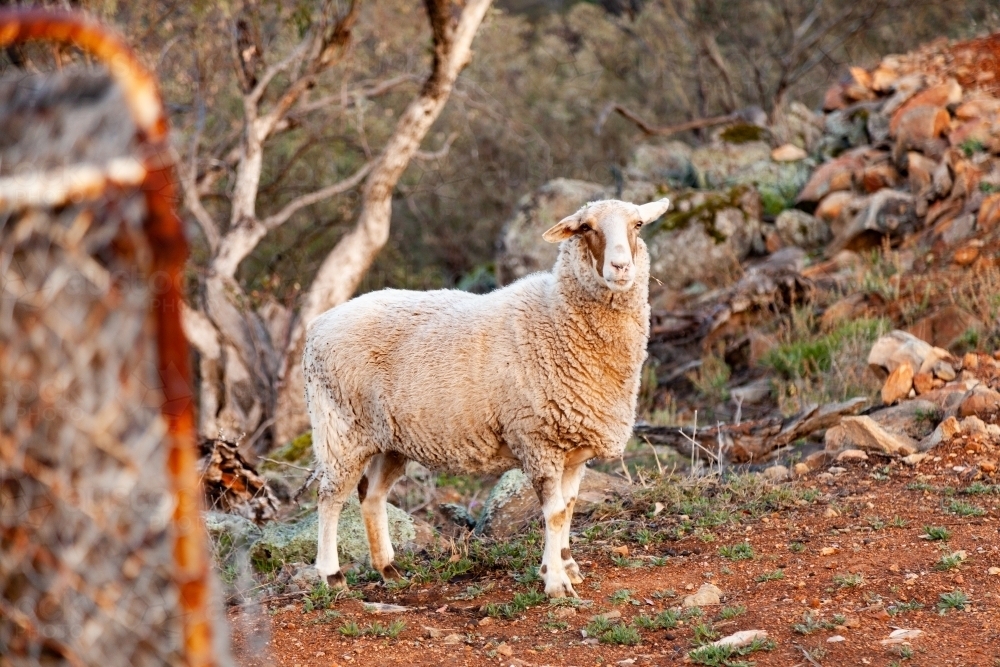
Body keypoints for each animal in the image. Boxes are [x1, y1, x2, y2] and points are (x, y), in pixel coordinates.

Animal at [303, 196, 670, 598]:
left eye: (637, 225)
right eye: (586, 228)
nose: (620, 267)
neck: (556, 315)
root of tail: (318, 325)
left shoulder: (574, 447)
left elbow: (570, 507)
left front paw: (566, 566)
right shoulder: (536, 438)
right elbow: (555, 512)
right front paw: (556, 583)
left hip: (389, 438)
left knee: (371, 495)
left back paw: (389, 568)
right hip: (340, 428)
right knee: (330, 498)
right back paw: (331, 575)